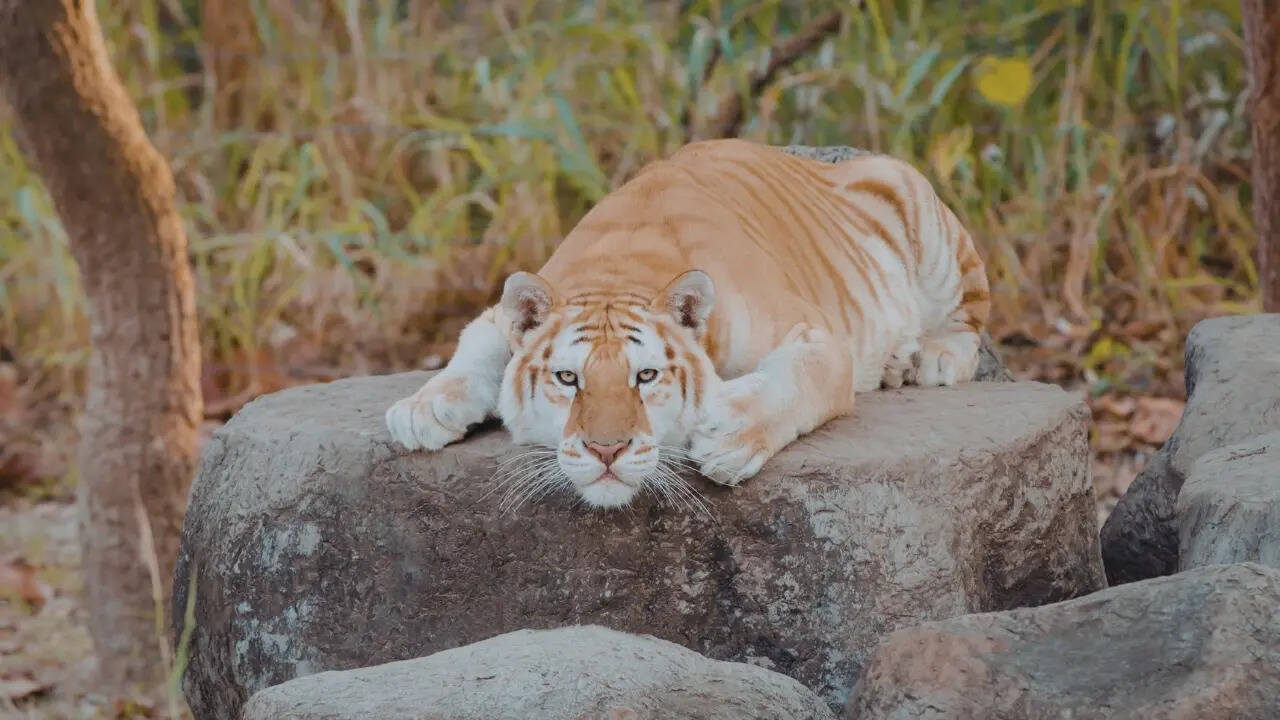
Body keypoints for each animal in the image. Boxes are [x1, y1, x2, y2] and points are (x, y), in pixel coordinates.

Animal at [385, 139, 989, 509]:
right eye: (568, 379)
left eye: (646, 376)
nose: (607, 450)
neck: (618, 269)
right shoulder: (500, 314)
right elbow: (473, 346)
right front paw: (422, 408)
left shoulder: (817, 334)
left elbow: (800, 379)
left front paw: (727, 435)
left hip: (920, 207)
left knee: (972, 317)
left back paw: (928, 359)